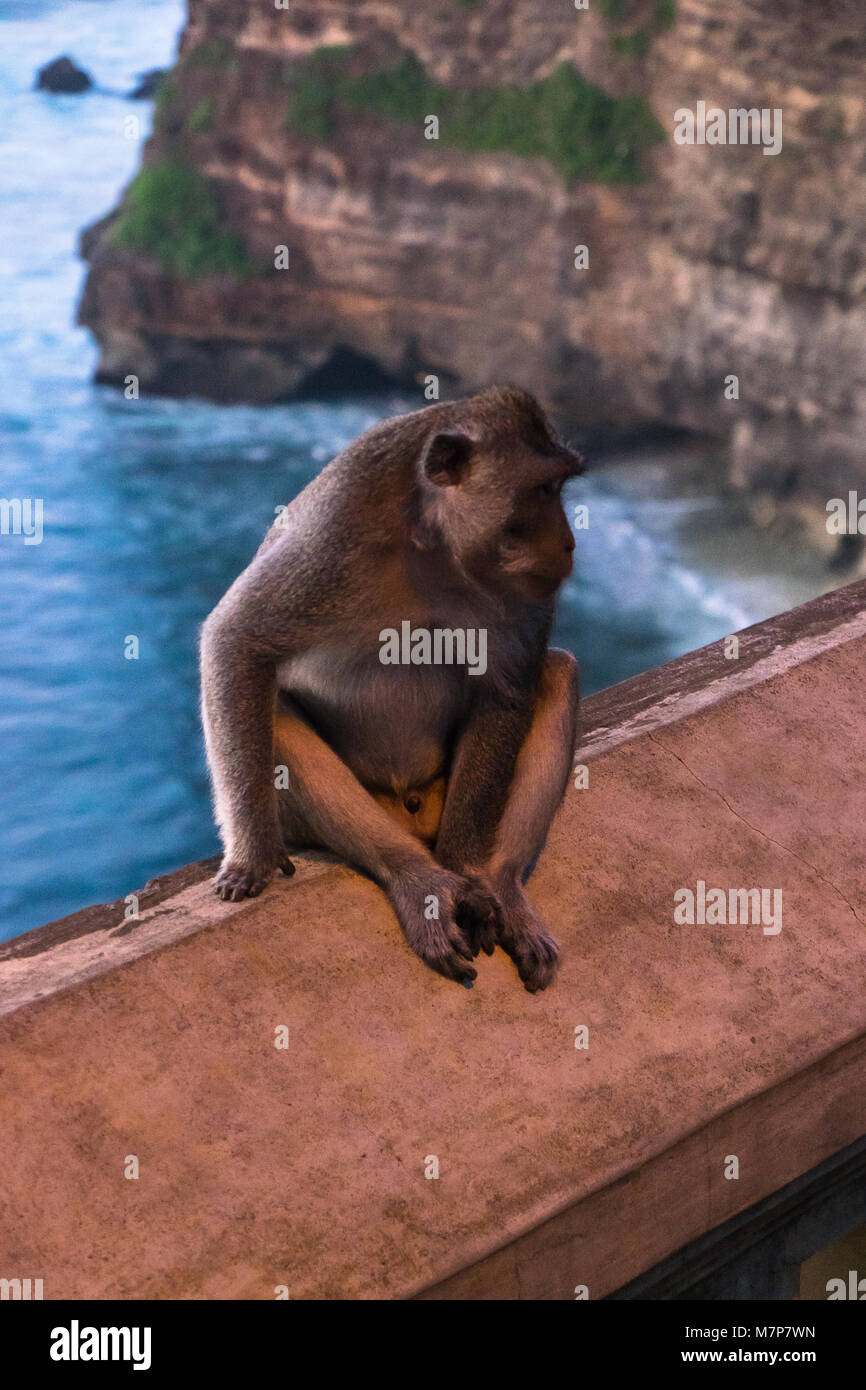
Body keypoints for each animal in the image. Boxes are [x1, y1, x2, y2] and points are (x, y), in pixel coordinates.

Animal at [200, 386, 583, 992]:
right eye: (542, 489)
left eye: (560, 488)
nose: (567, 543)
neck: (433, 548)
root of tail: (412, 817)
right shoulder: (333, 539)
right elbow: (238, 642)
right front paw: (250, 859)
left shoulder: (522, 591)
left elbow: (506, 690)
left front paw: (474, 874)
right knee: (274, 712)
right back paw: (416, 878)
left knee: (557, 673)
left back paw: (498, 882)